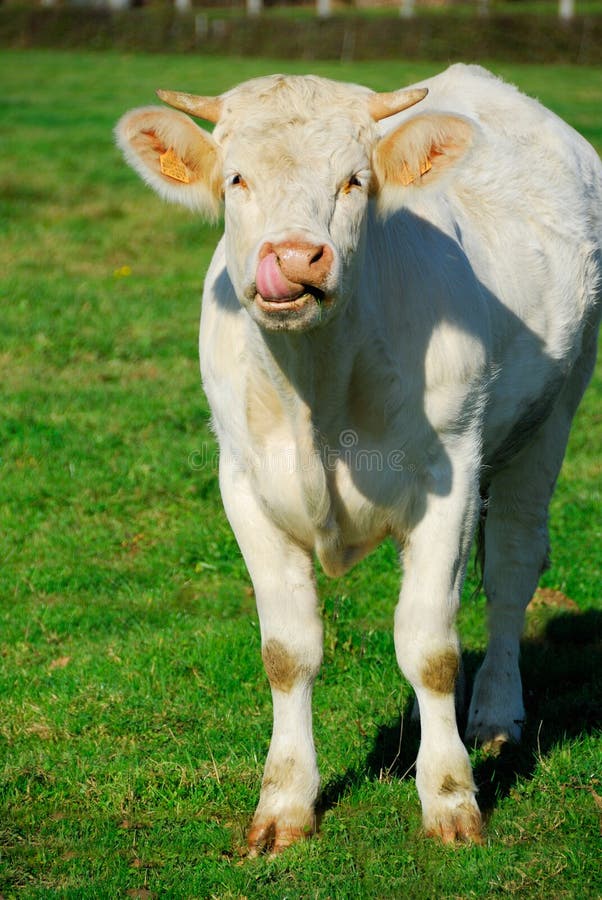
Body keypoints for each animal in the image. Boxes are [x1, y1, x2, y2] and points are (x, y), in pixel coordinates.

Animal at [116, 63, 601, 853]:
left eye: (353, 181)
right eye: (237, 178)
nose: (292, 258)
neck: (317, 390)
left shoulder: (448, 479)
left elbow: (431, 647)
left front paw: (450, 799)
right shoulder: (244, 487)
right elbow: (288, 652)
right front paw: (283, 804)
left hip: (553, 413)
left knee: (510, 574)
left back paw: (495, 715)